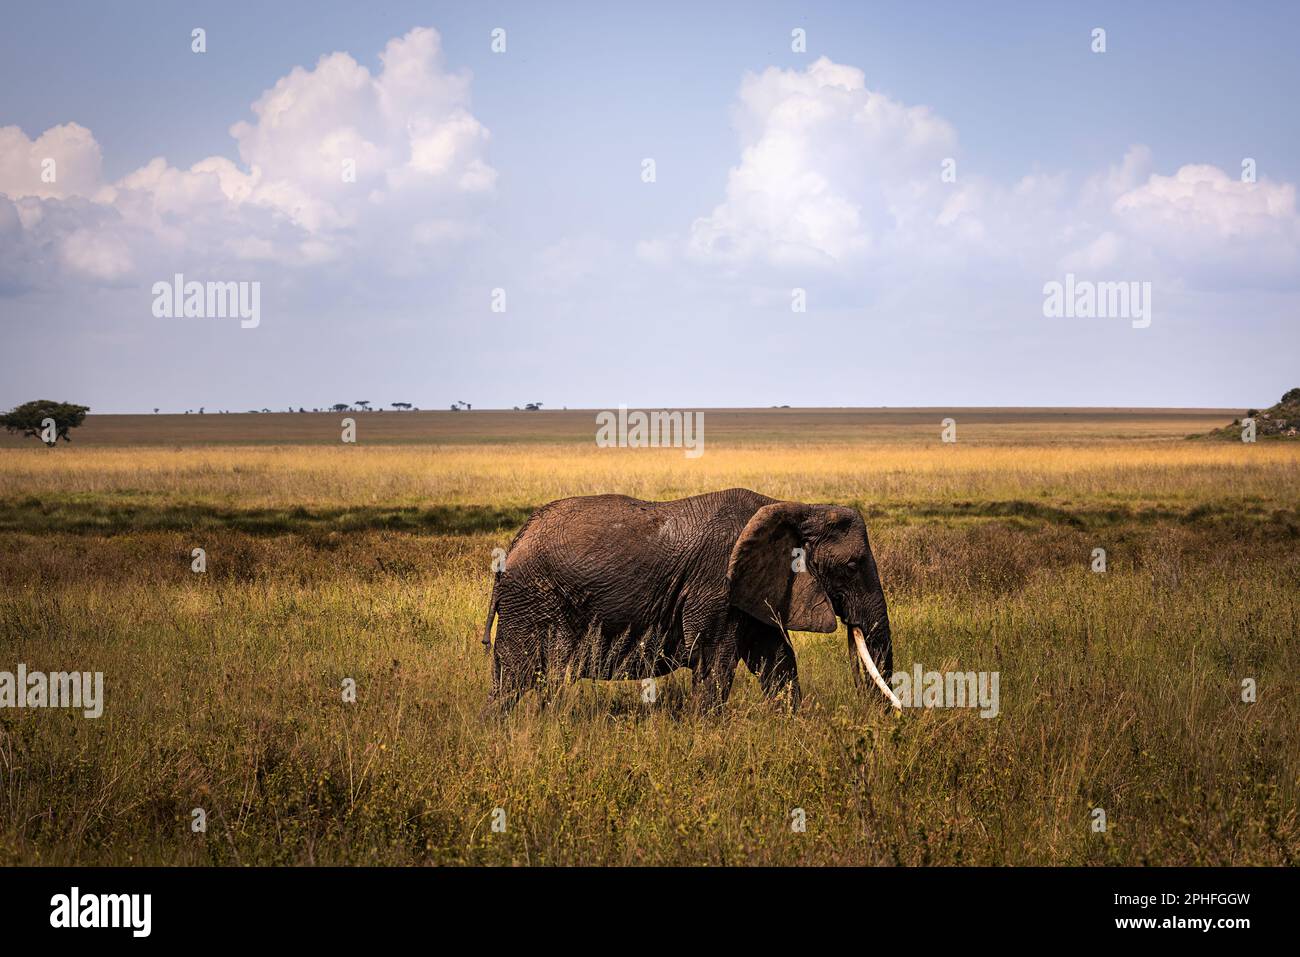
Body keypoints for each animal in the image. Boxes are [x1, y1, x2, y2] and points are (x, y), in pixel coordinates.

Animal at [480, 487, 901, 713]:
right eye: (851, 565)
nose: (881, 715)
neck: (798, 507)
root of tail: (515, 542)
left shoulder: (753, 587)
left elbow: (775, 657)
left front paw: (791, 724)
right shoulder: (717, 587)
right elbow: (716, 661)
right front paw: (709, 731)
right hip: (532, 599)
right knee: (517, 675)